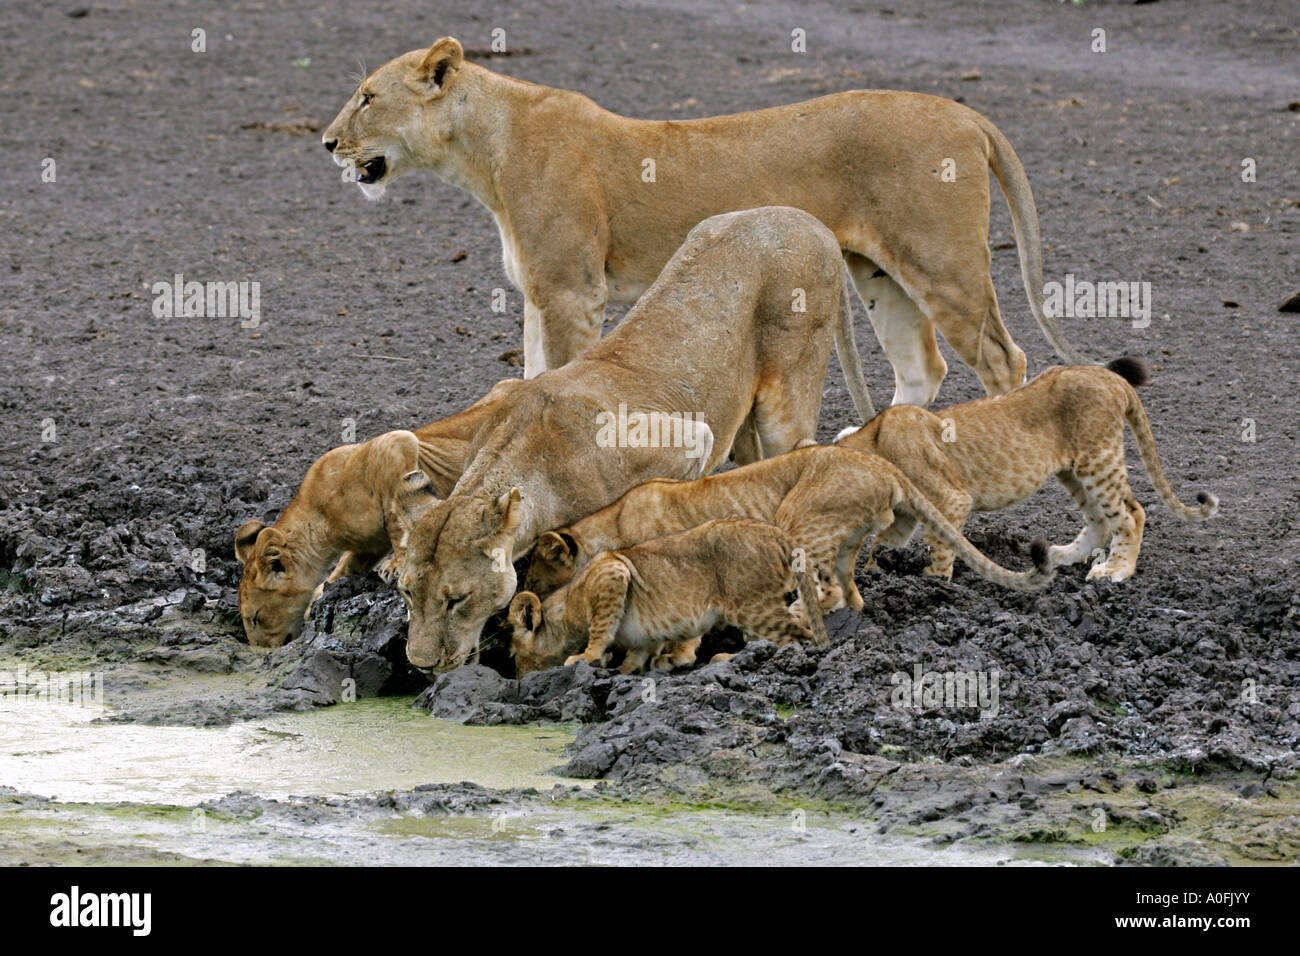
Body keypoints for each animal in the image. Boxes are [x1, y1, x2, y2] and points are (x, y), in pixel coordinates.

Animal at [233, 379, 521, 646]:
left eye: (256, 617)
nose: (263, 650)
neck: (322, 518)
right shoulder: (367, 545)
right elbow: (346, 564)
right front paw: (318, 596)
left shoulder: (397, 443)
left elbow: (397, 520)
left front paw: (396, 565)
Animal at [322, 36, 1087, 399]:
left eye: (366, 97)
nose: (326, 142)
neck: (485, 152)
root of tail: (964, 112)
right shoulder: (541, 296)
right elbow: (536, 370)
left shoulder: (571, 292)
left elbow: (560, 376)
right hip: (879, 271)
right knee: (923, 367)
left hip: (942, 259)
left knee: (1005, 360)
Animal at [508, 517, 828, 677]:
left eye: (513, 655)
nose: (520, 681)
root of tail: (778, 533)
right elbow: (639, 649)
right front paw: (628, 668)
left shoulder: (612, 572)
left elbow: (601, 628)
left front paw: (587, 657)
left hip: (749, 604)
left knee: (797, 638)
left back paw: (732, 658)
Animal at [524, 444, 1054, 615]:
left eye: (531, 575)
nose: (521, 601)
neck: (611, 520)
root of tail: (884, 466)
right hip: (840, 535)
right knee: (852, 596)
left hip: (798, 515)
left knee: (829, 593)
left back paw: (797, 610)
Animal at [836, 358, 1219, 582]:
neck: (873, 439)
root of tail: (1108, 375)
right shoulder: (906, 511)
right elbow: (885, 540)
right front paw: (874, 571)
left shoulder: (950, 498)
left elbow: (941, 542)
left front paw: (933, 580)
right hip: (1074, 469)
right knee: (1099, 521)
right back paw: (1062, 556)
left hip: (1098, 458)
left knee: (1131, 514)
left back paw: (1116, 570)